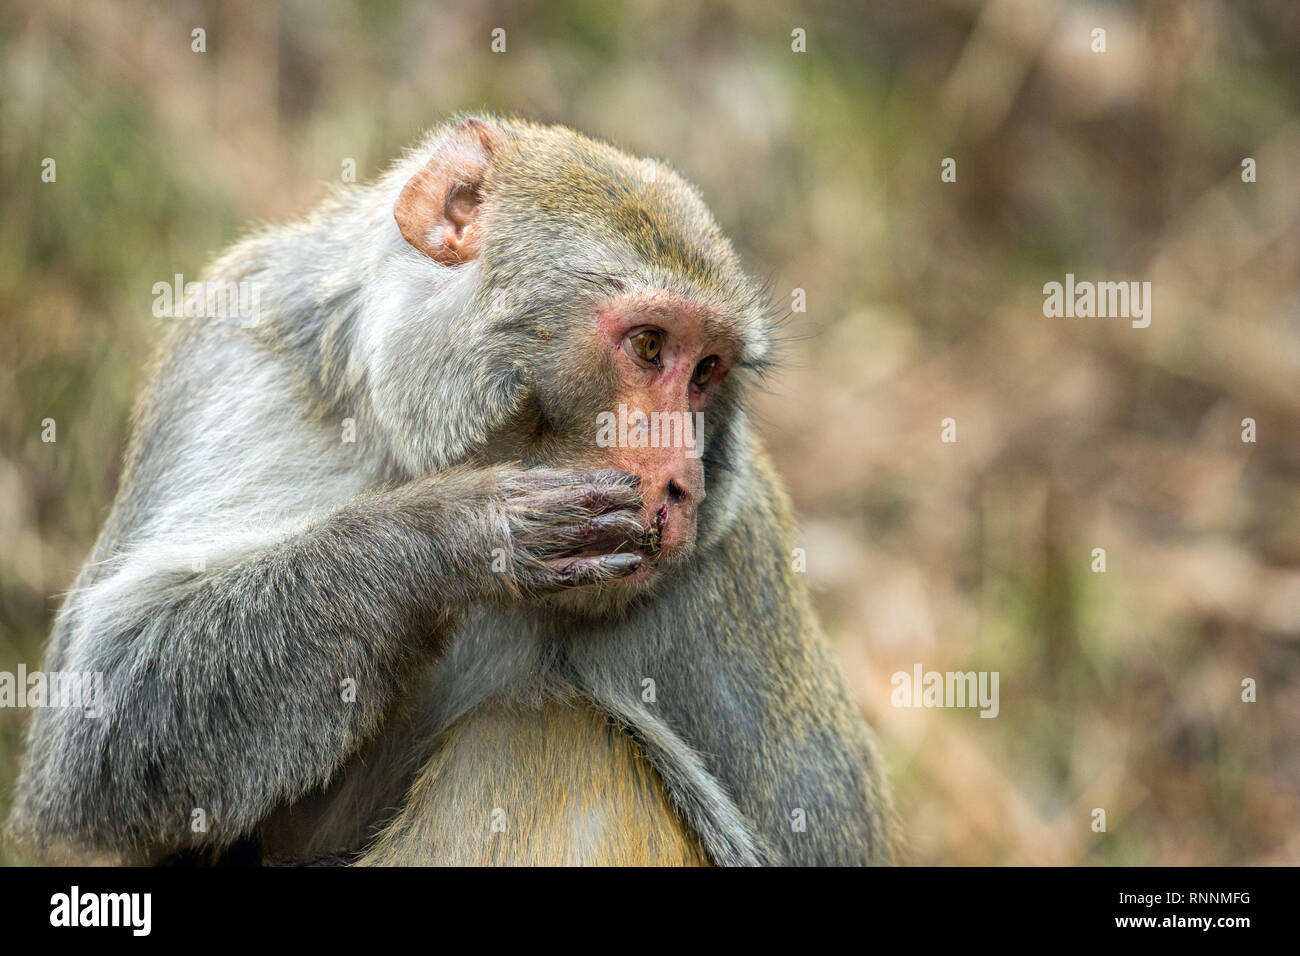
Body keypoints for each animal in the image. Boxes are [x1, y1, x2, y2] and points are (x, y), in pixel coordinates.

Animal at [8, 115, 894, 866]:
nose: (683, 482)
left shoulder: (735, 553)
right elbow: (97, 722)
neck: (412, 441)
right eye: (649, 347)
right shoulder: (239, 352)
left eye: (708, 371)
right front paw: (460, 533)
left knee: (556, 743)